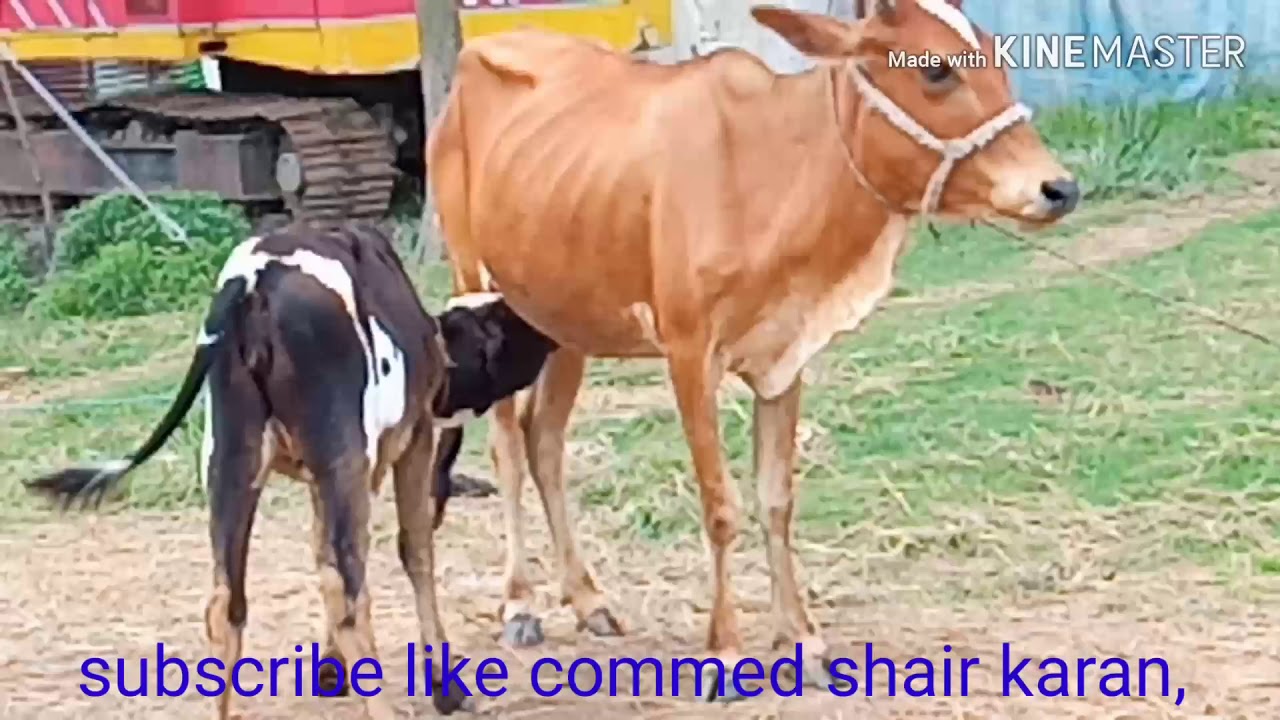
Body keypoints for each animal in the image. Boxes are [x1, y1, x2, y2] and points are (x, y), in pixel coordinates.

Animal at [24, 222, 554, 719]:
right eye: (498, 327)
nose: (542, 329)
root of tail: (252, 280)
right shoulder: (402, 446)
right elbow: (413, 551)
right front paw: (444, 687)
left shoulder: (323, 475)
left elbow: (320, 556)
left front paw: (331, 668)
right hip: (338, 456)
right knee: (347, 588)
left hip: (231, 462)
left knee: (227, 602)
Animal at [425, 0, 1080, 701]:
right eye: (934, 70)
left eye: (1000, 58)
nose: (1059, 188)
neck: (774, 170)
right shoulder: (690, 355)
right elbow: (721, 508)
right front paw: (726, 653)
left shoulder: (786, 359)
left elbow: (775, 501)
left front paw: (803, 642)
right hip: (477, 281)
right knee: (509, 449)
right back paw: (519, 605)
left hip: (565, 319)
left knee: (544, 441)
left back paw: (588, 599)